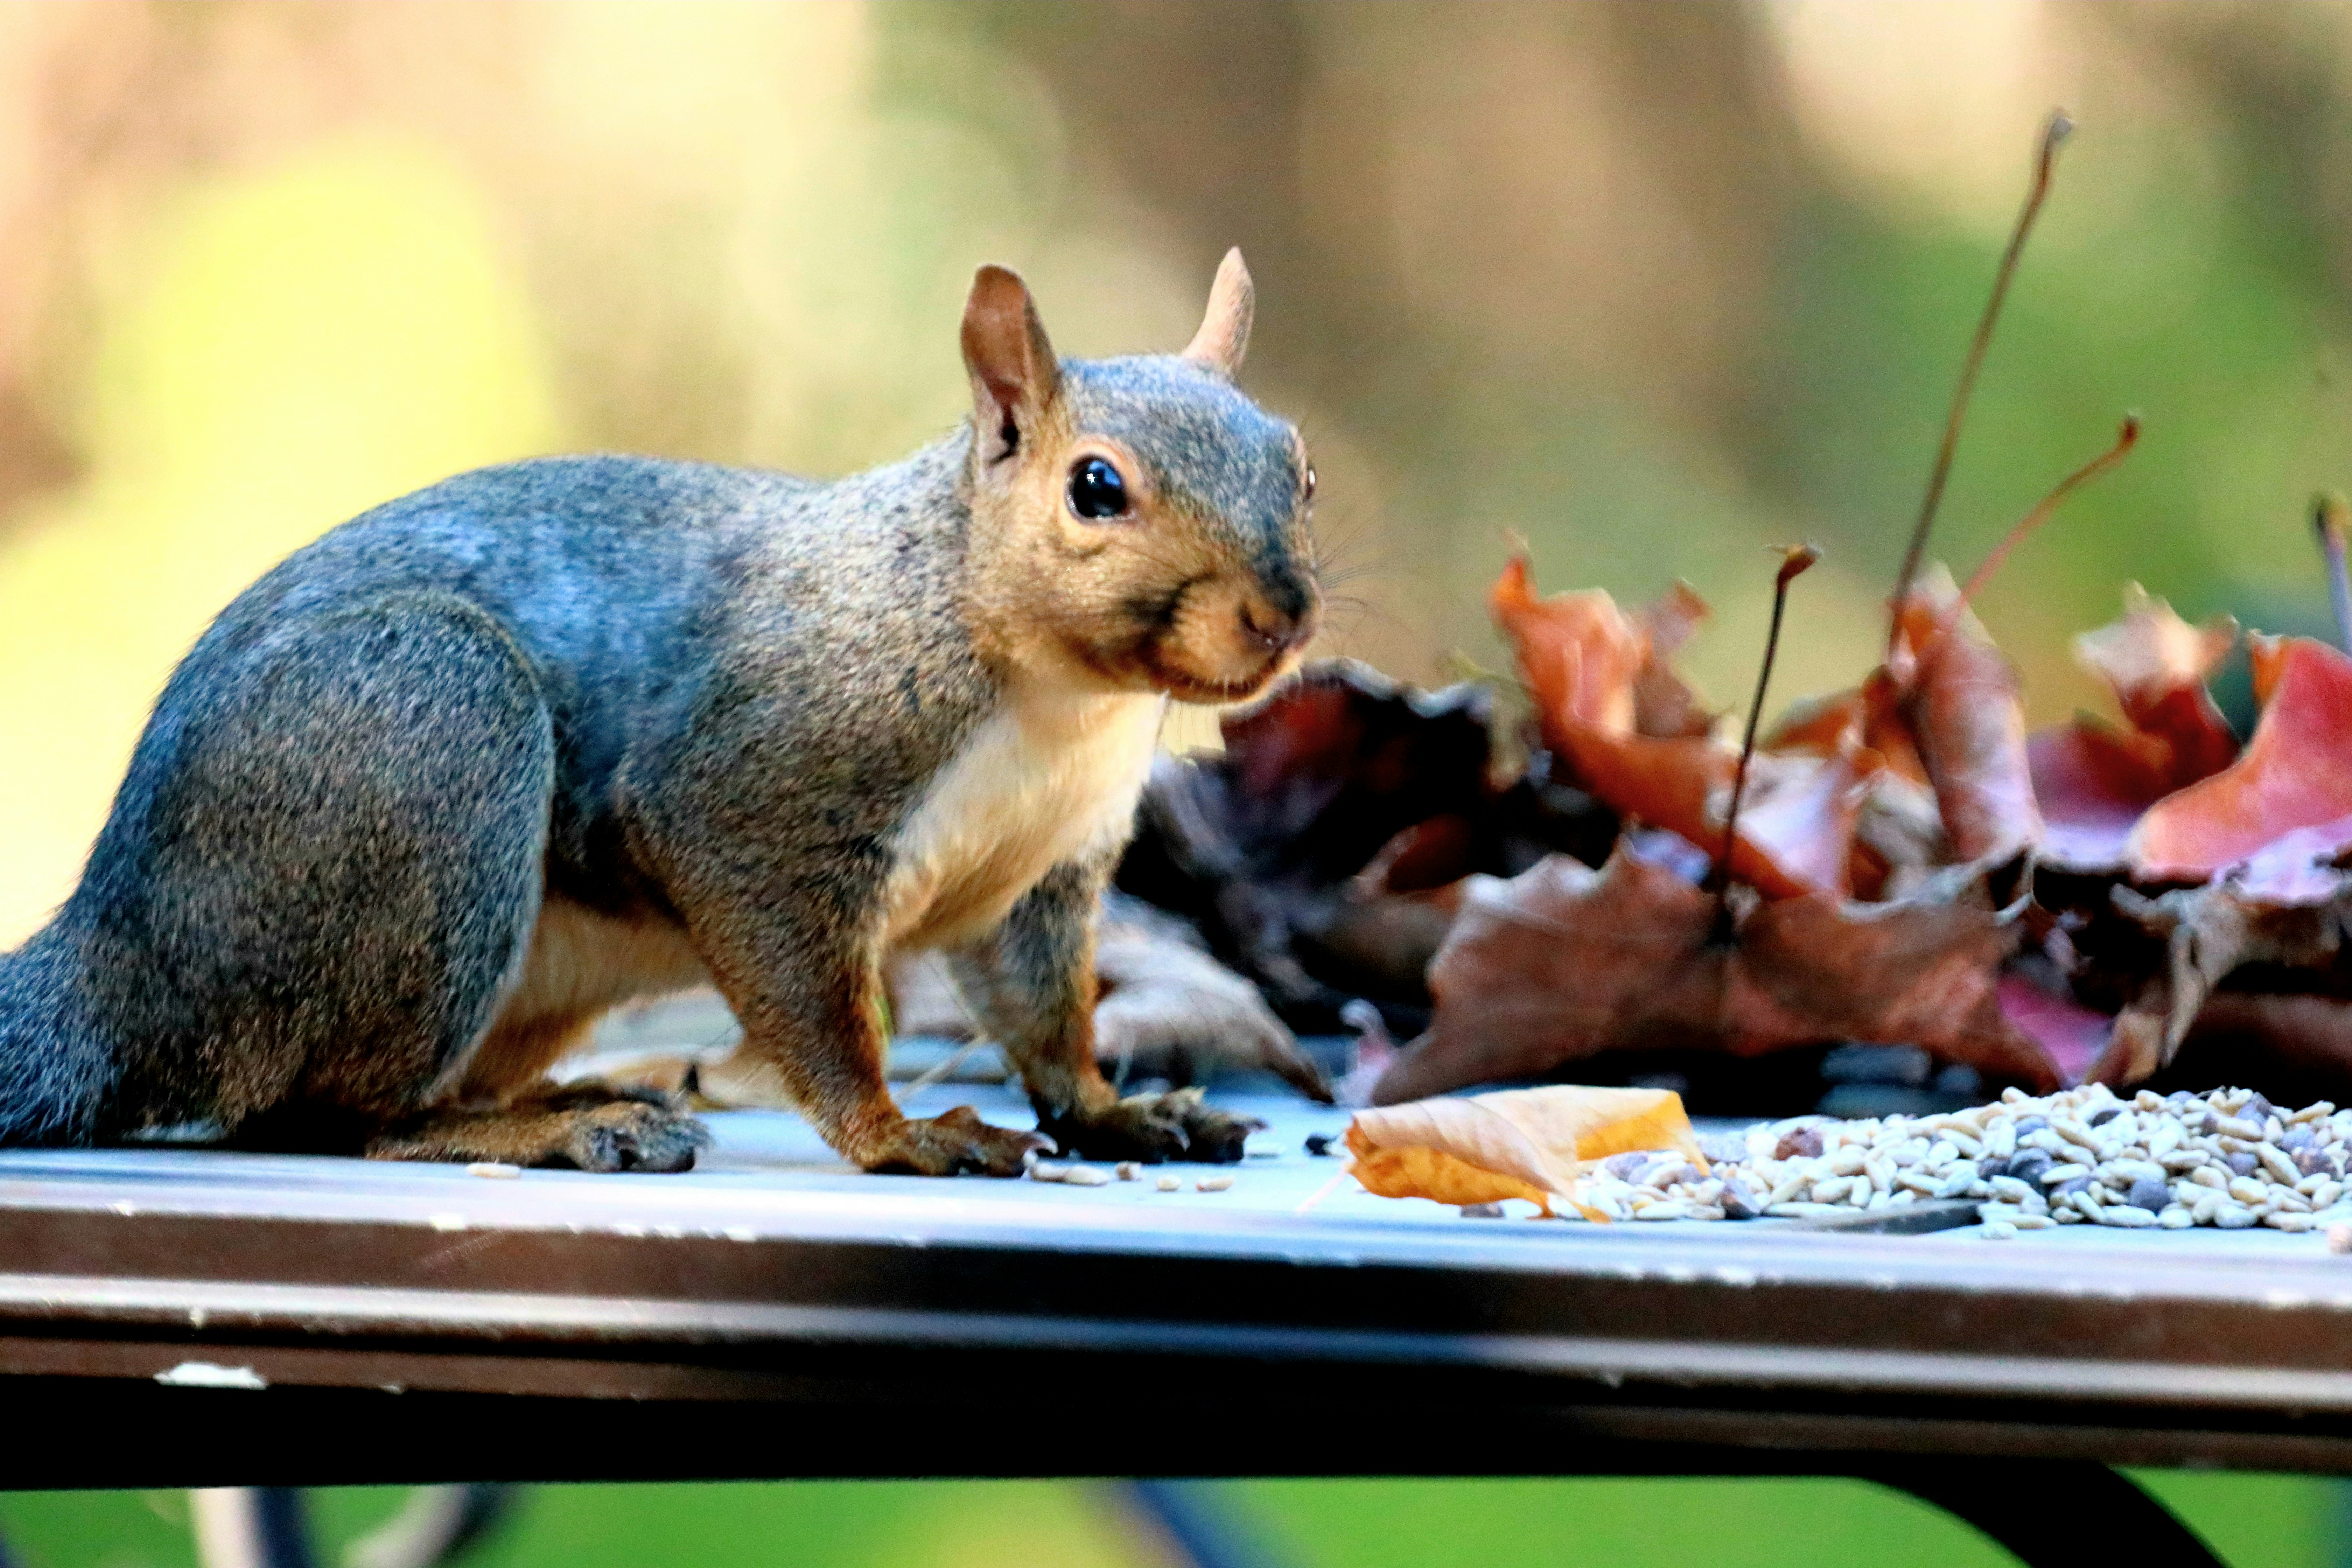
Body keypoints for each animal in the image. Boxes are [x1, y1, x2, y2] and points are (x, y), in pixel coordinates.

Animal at [0, 249, 1323, 1175]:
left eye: (1299, 466)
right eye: (1095, 487)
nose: (1282, 615)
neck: (1059, 705)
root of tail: (119, 942)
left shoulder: (1045, 870)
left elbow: (1047, 1017)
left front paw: (1114, 1112)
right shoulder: (751, 793)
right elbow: (818, 1006)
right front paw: (896, 1135)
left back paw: (565, 1098)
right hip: (429, 734)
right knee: (320, 1116)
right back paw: (545, 1130)